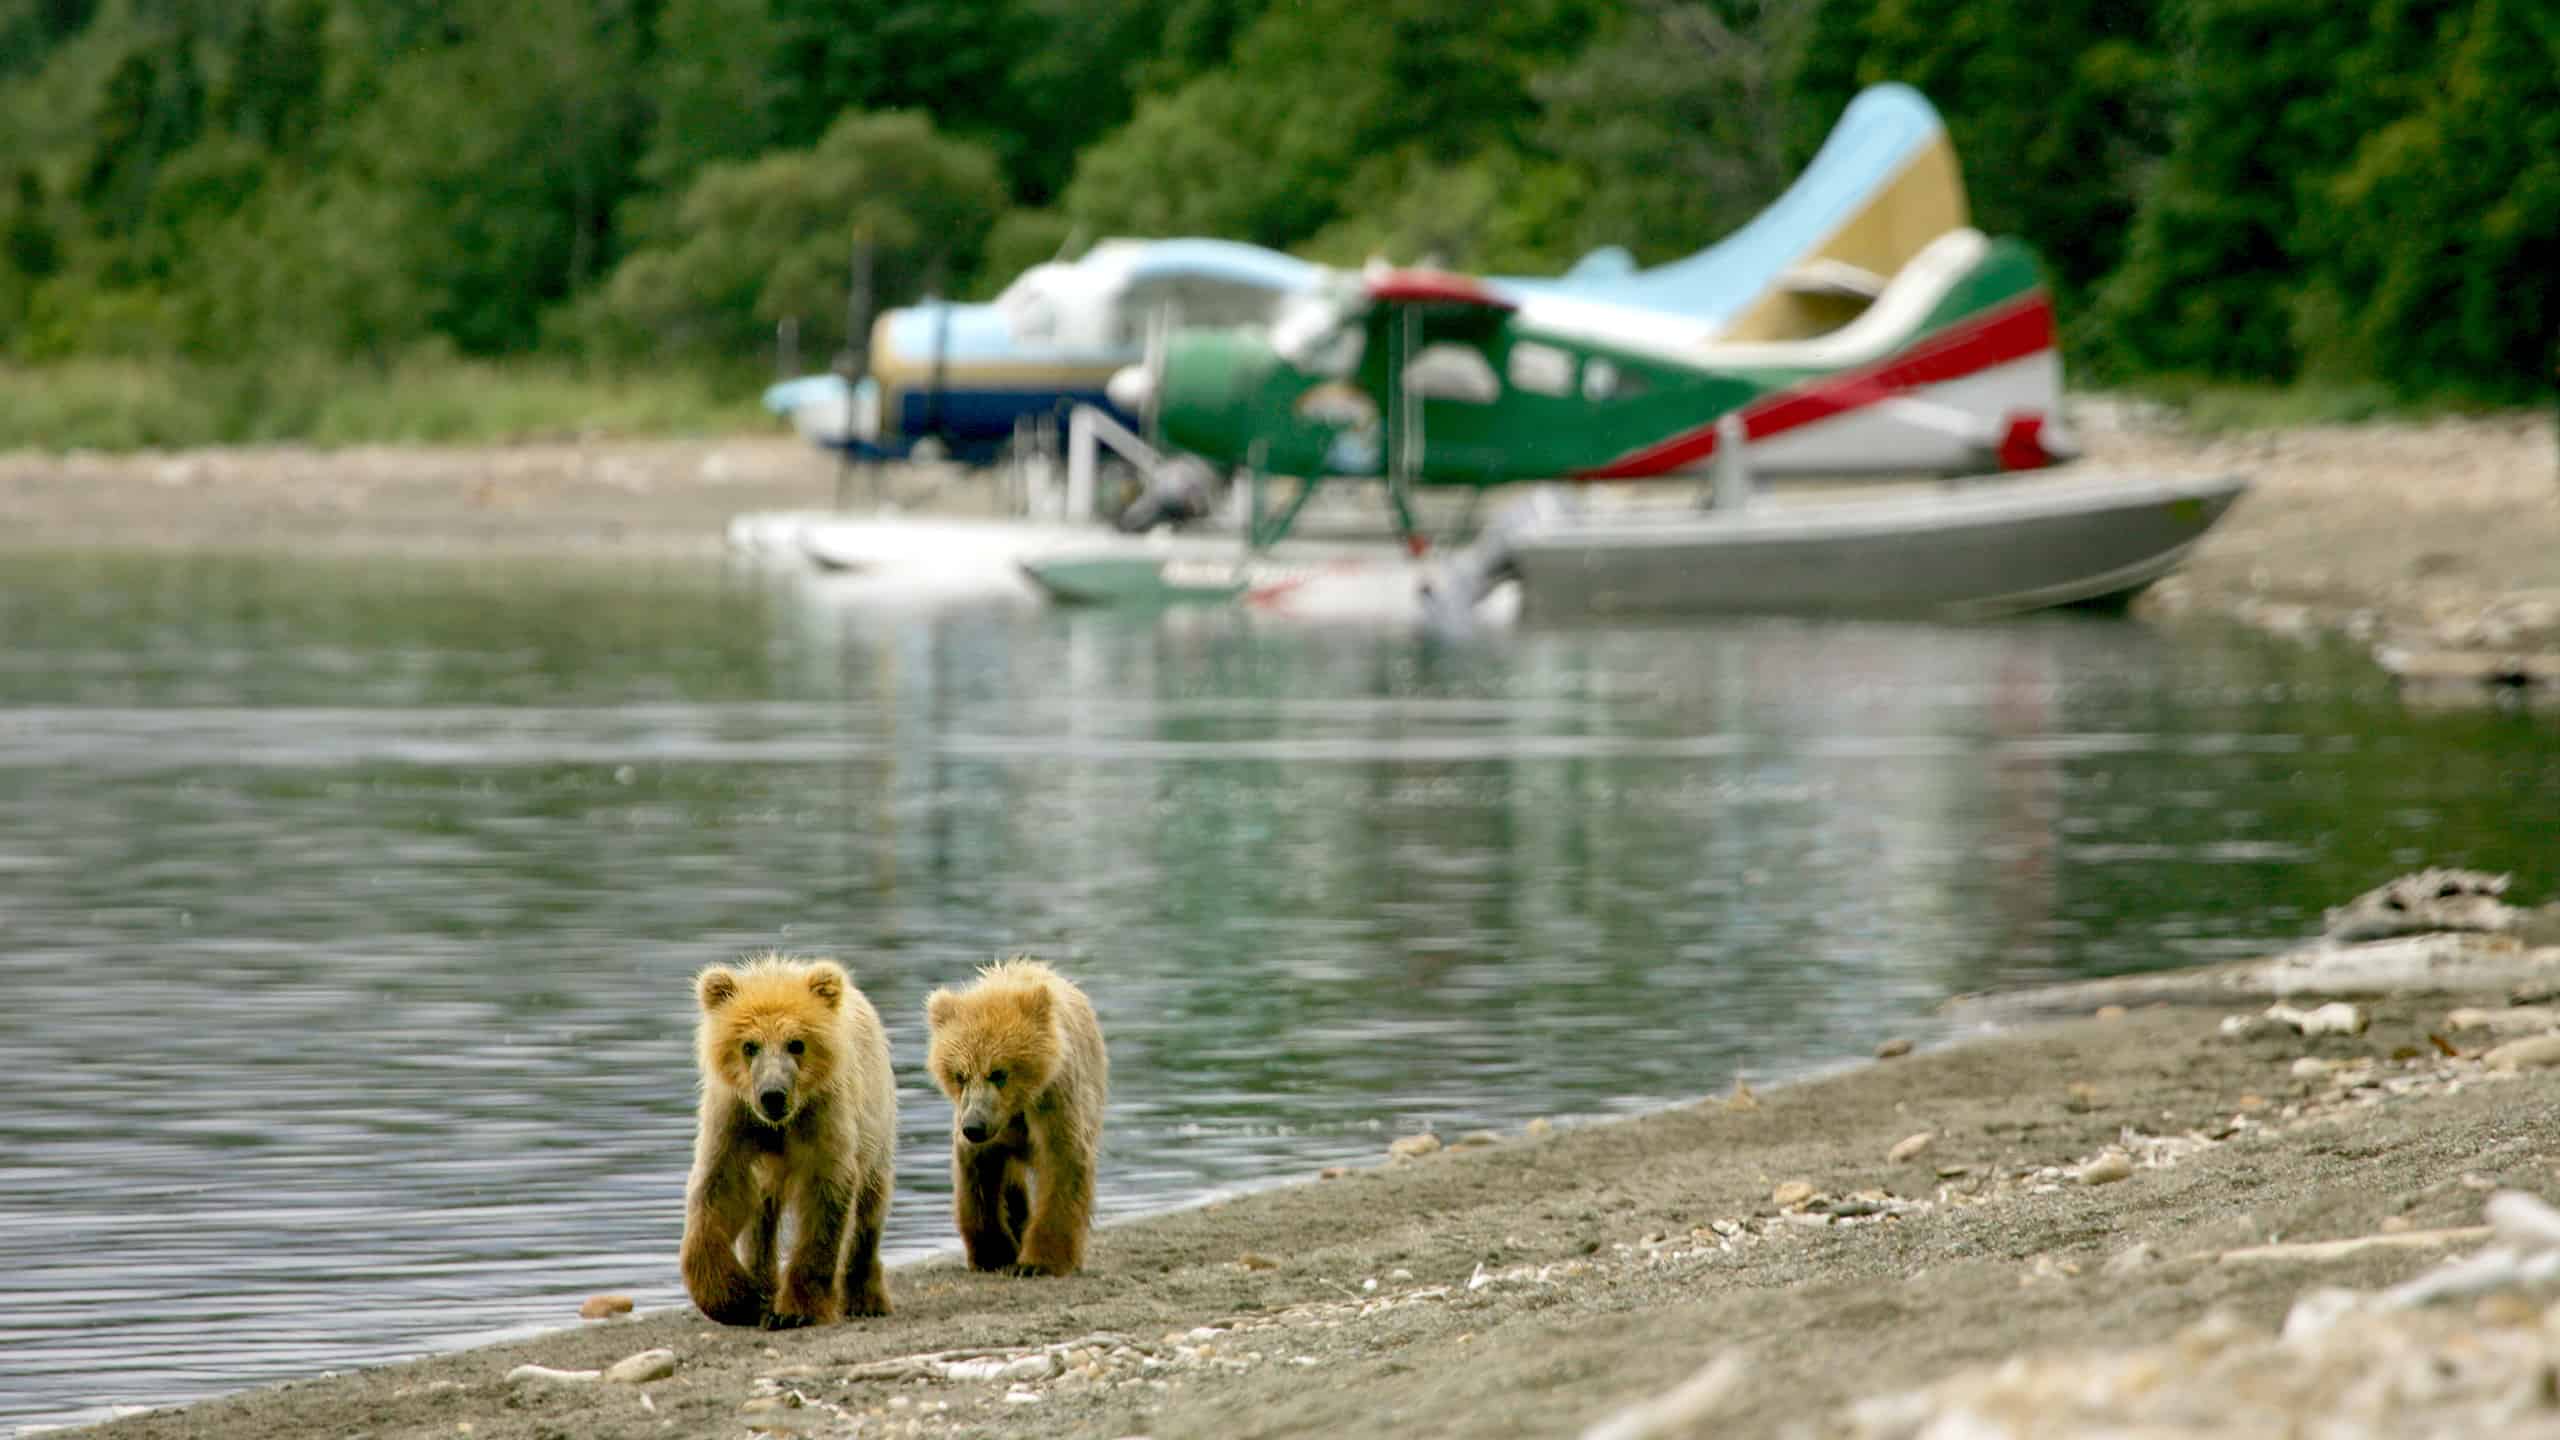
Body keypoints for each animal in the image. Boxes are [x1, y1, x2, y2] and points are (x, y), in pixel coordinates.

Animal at [681, 953, 896, 1327]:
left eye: (796, 1043)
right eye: (749, 1046)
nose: (773, 1095)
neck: (781, 1125)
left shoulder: (824, 1118)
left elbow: (826, 1203)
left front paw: (797, 1310)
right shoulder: (735, 1118)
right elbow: (716, 1191)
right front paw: (737, 1299)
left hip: (875, 1121)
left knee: (870, 1207)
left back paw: (866, 1298)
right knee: (761, 1217)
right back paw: (762, 1281)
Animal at [924, 956, 1109, 1276]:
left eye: (999, 1072)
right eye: (960, 1075)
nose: (973, 1126)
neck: (1017, 1106)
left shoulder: (1055, 1103)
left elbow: (1063, 1164)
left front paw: (1038, 1262)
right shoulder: (982, 1125)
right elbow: (978, 1178)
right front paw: (993, 1254)